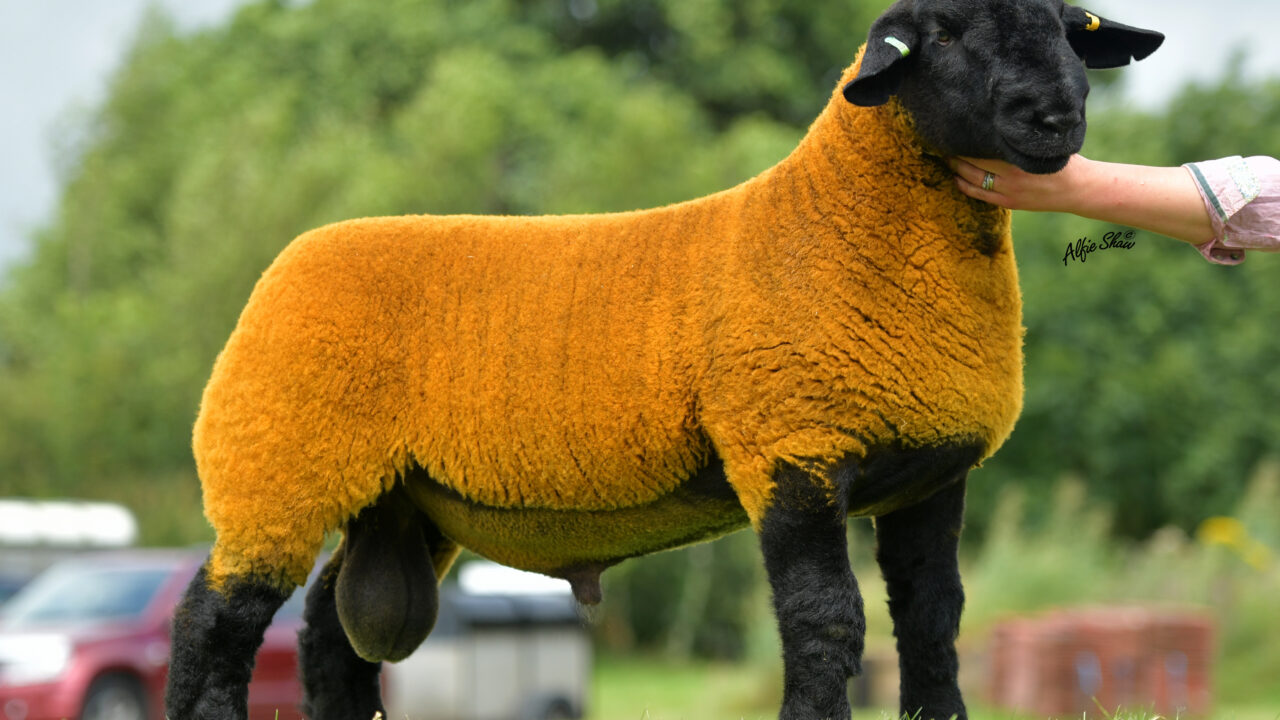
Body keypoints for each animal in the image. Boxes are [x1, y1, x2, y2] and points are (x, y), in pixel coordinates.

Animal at [164, 1, 1162, 719]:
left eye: (1067, 29)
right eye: (946, 33)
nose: (1055, 117)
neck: (837, 223)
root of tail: (293, 260)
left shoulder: (929, 474)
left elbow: (931, 620)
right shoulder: (789, 449)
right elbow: (824, 623)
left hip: (397, 497)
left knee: (330, 636)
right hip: (277, 464)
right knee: (214, 621)